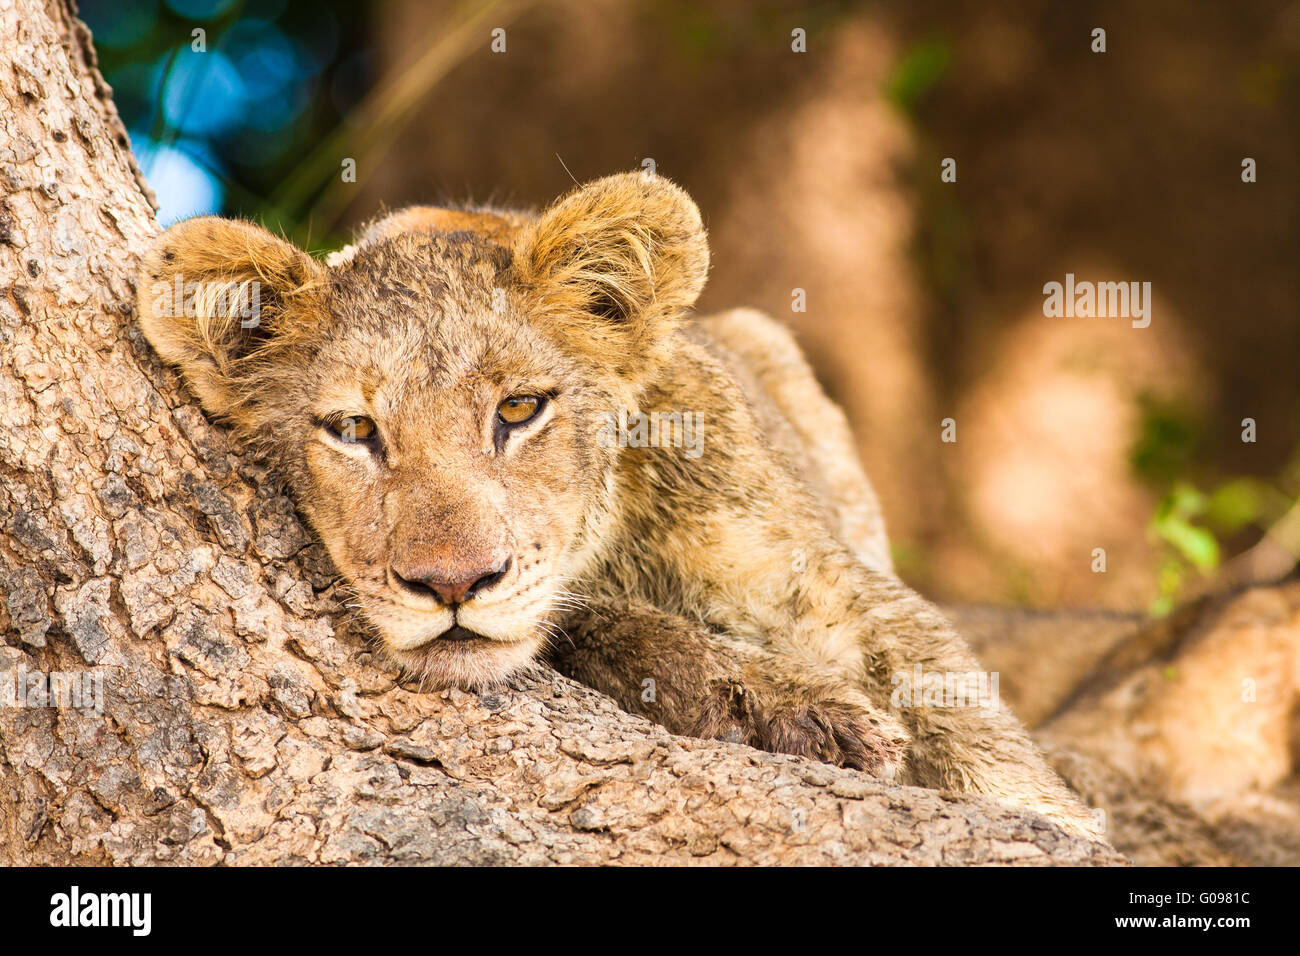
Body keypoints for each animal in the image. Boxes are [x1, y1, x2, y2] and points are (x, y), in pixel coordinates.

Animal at [136, 172, 1102, 838]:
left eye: (520, 409)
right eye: (352, 429)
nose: (452, 585)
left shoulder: (820, 579)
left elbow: (968, 719)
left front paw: (1053, 823)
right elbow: (622, 628)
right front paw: (805, 714)